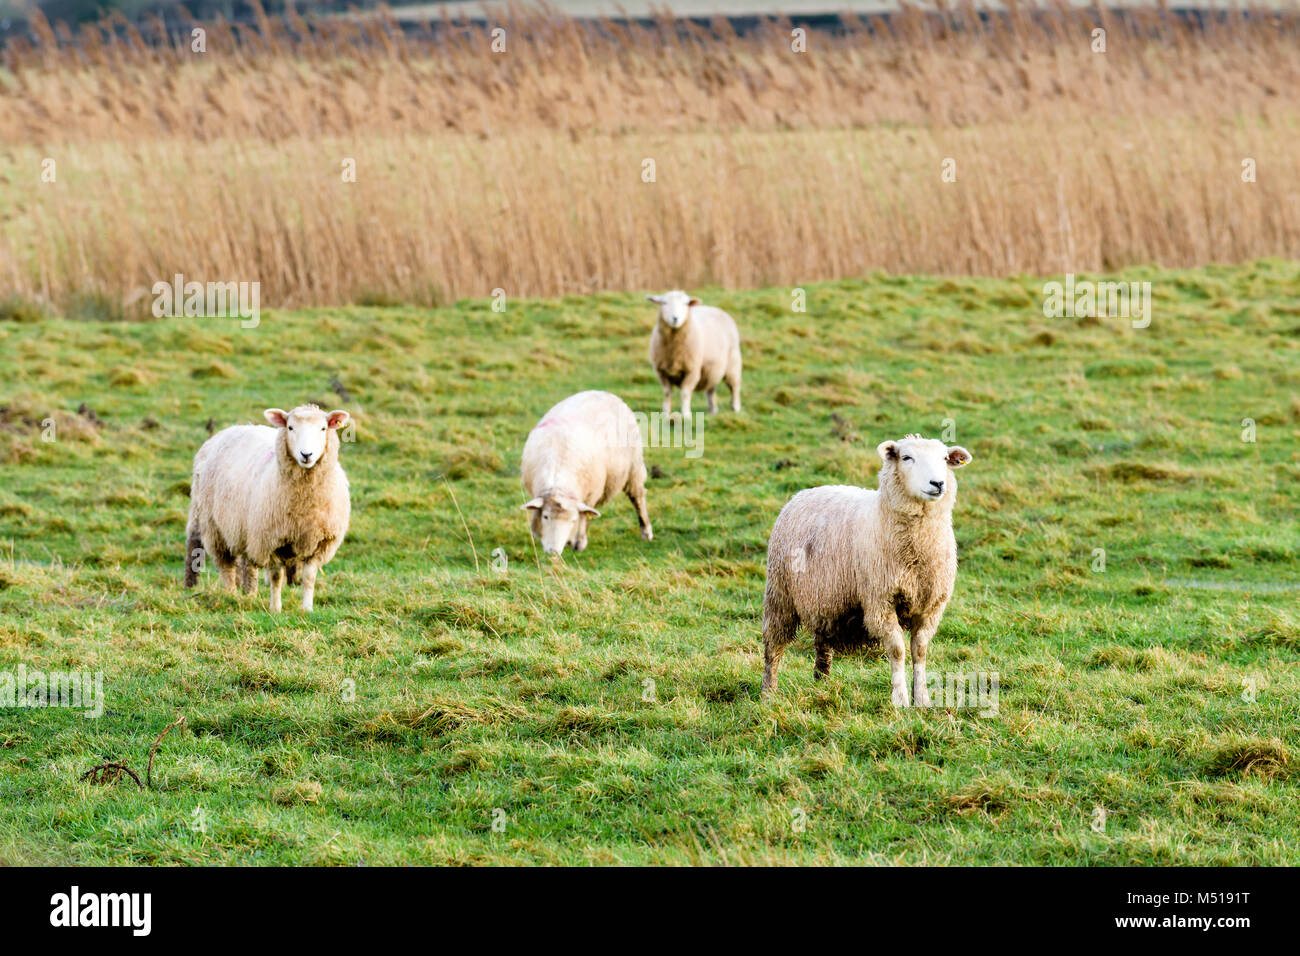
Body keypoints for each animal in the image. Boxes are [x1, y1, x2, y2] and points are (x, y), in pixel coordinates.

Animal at [184, 404, 351, 612]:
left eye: (323, 428)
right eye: (290, 427)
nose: (306, 455)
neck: (305, 503)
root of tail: (229, 430)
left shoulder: (319, 542)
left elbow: (309, 577)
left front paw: (307, 608)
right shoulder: (269, 540)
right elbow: (276, 577)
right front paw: (275, 608)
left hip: (243, 527)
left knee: (244, 562)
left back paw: (246, 590)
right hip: (214, 526)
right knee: (225, 564)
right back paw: (230, 593)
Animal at [520, 390, 652, 555]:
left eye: (572, 520)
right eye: (545, 516)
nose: (554, 551)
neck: (559, 483)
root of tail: (603, 392)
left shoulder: (591, 495)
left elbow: (584, 518)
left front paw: (579, 543)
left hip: (634, 467)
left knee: (638, 498)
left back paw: (646, 531)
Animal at [646, 290, 742, 419]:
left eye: (685, 303)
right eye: (664, 303)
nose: (675, 318)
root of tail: (714, 308)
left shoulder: (692, 370)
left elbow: (685, 393)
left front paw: (686, 415)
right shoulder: (661, 371)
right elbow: (667, 393)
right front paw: (665, 414)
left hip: (733, 363)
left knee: (734, 387)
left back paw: (735, 408)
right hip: (712, 369)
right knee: (711, 390)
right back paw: (712, 411)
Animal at [760, 434, 972, 706]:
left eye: (945, 459)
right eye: (907, 457)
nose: (938, 483)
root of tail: (806, 492)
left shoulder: (931, 605)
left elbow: (920, 650)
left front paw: (922, 699)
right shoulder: (880, 600)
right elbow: (897, 650)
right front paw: (900, 699)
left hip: (825, 598)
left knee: (822, 641)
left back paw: (822, 682)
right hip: (780, 594)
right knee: (773, 646)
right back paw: (768, 692)